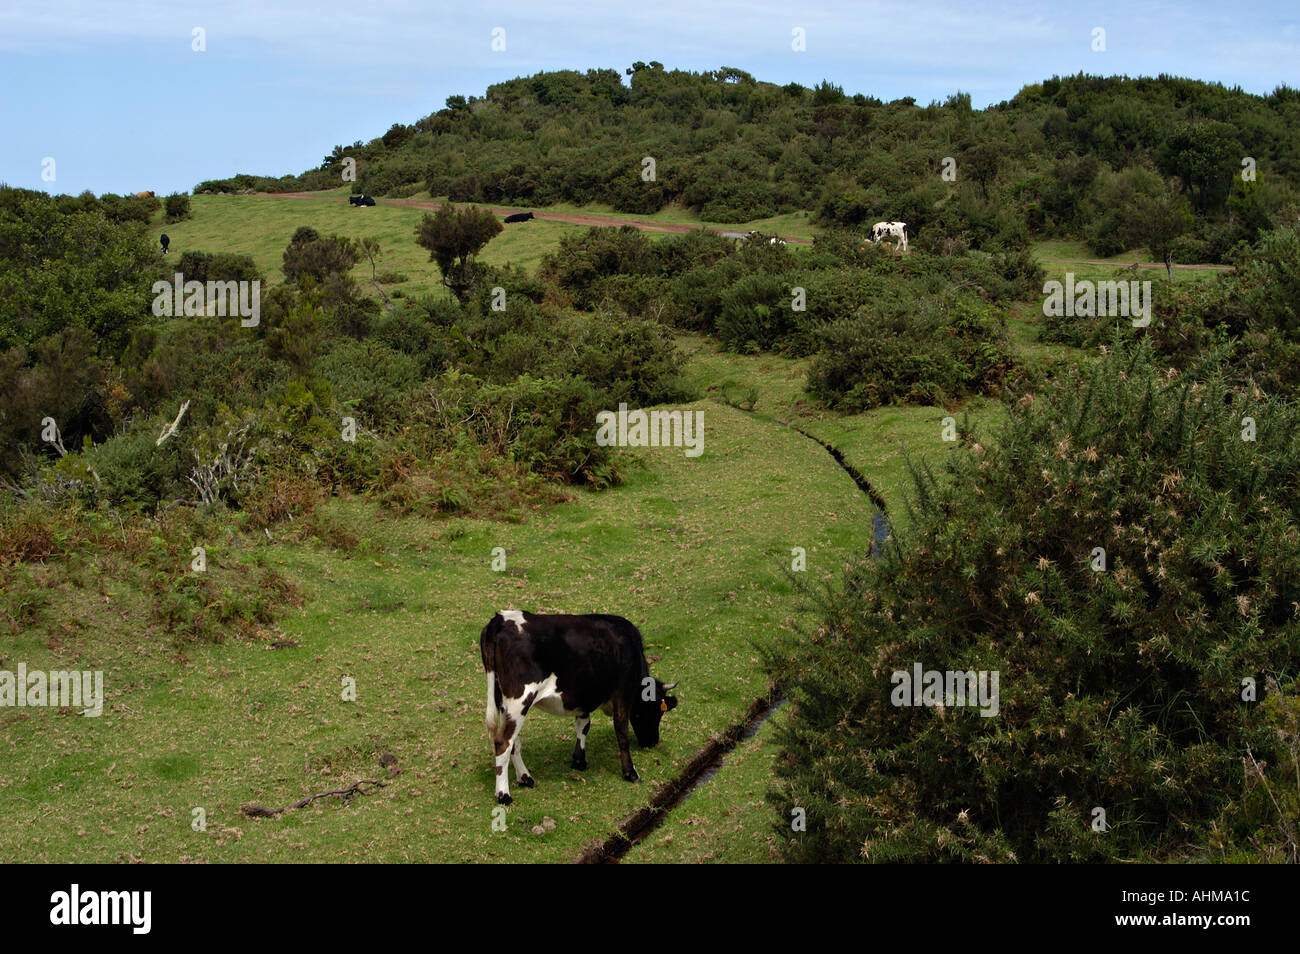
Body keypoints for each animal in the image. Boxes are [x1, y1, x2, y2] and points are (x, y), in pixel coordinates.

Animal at [480, 610, 678, 805]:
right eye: (657, 712)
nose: (652, 742)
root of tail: (501, 618)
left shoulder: (583, 698)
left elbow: (583, 726)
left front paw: (579, 761)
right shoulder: (622, 695)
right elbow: (622, 734)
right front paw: (630, 773)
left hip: (503, 702)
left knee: (514, 742)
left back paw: (525, 777)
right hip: (519, 700)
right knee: (503, 742)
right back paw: (503, 794)